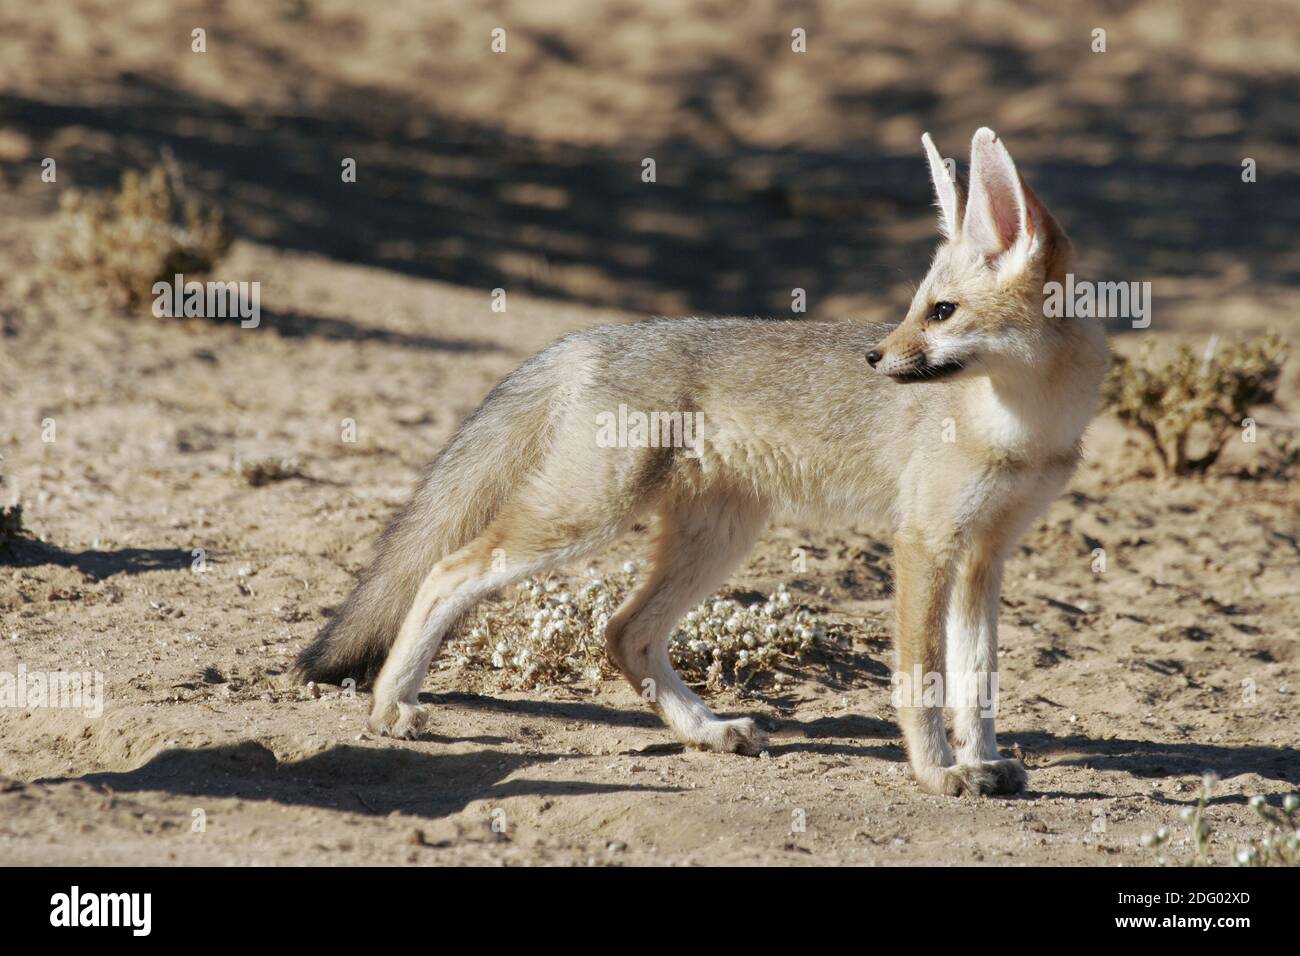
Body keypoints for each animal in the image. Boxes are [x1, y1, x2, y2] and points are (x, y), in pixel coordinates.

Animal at [294, 128, 1108, 796]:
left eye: (941, 313)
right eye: (918, 308)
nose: (876, 358)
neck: (1019, 425)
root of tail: (596, 334)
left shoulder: (983, 557)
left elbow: (978, 684)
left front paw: (983, 761)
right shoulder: (923, 545)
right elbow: (924, 682)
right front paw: (939, 772)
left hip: (718, 538)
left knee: (624, 632)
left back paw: (708, 732)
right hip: (587, 520)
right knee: (445, 572)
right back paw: (392, 705)